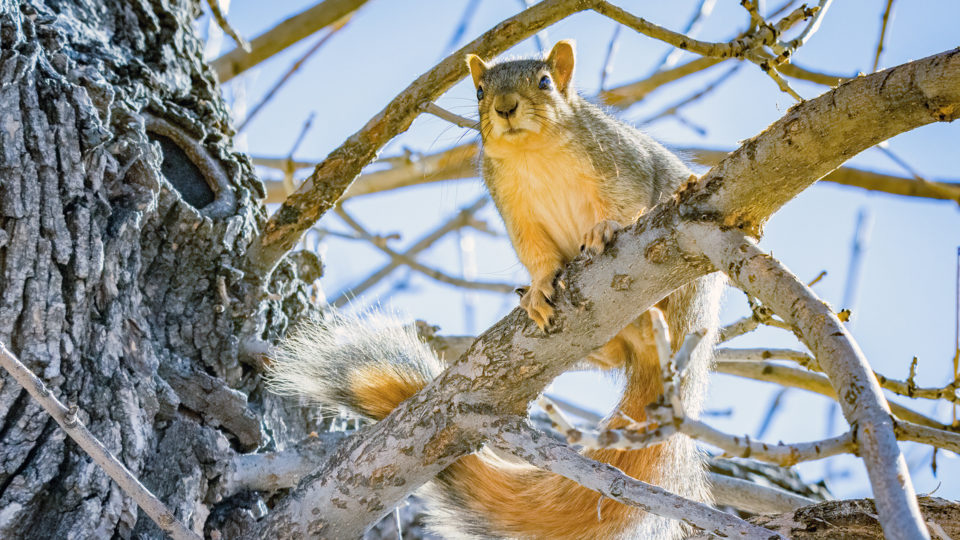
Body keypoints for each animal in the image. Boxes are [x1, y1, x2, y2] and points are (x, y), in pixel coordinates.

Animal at [268, 40, 723, 539]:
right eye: (480, 90)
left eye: (544, 82)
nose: (505, 108)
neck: (534, 154)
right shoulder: (514, 208)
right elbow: (537, 254)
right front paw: (540, 288)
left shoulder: (625, 166)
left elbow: (629, 206)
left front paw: (604, 229)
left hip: (686, 297)